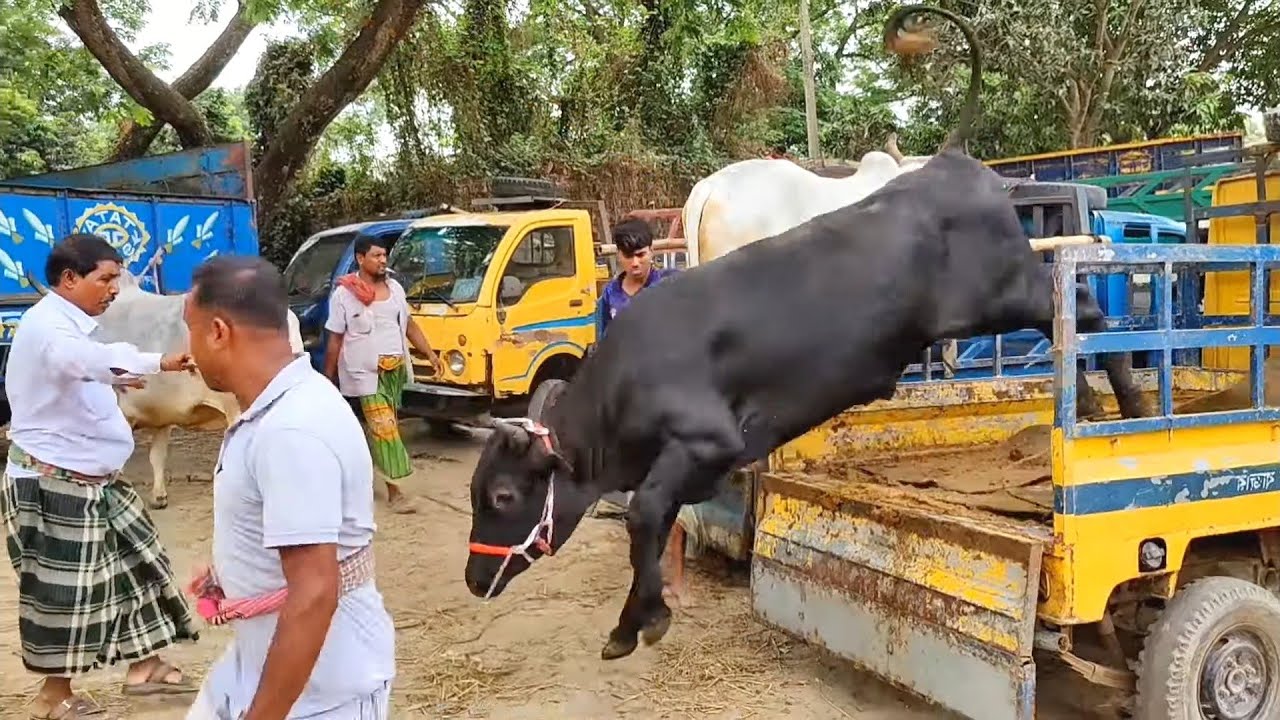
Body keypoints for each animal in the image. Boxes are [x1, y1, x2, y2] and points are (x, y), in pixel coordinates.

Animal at [463, 3, 1152, 662]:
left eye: (501, 496)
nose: (472, 579)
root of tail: (946, 163)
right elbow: (656, 527)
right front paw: (637, 618)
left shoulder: (707, 441)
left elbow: (643, 517)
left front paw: (642, 621)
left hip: (1010, 291)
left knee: (1083, 308)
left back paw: (1131, 408)